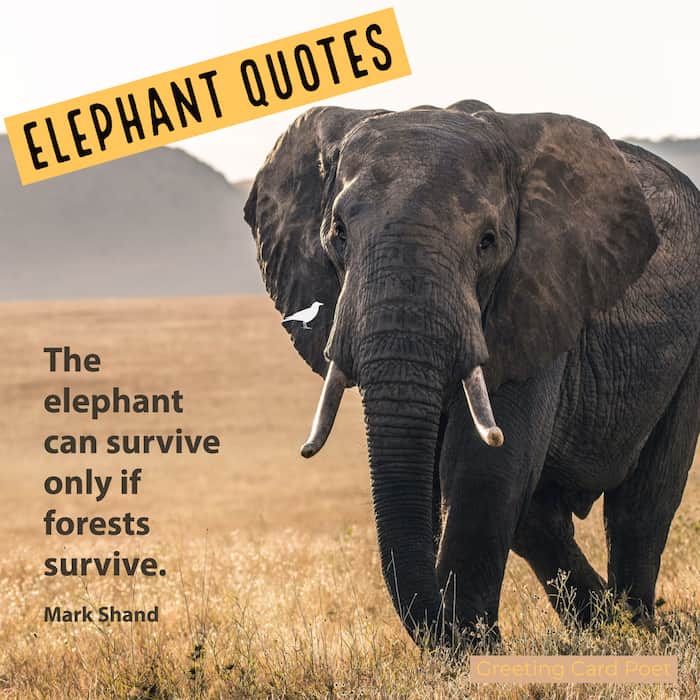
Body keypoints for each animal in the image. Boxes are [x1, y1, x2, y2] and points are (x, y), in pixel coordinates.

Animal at [244, 99, 700, 646]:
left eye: (487, 242)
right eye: (338, 234)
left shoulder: (536, 295)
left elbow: (483, 467)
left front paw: (473, 650)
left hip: (690, 351)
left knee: (641, 505)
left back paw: (639, 632)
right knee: (541, 519)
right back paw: (607, 627)